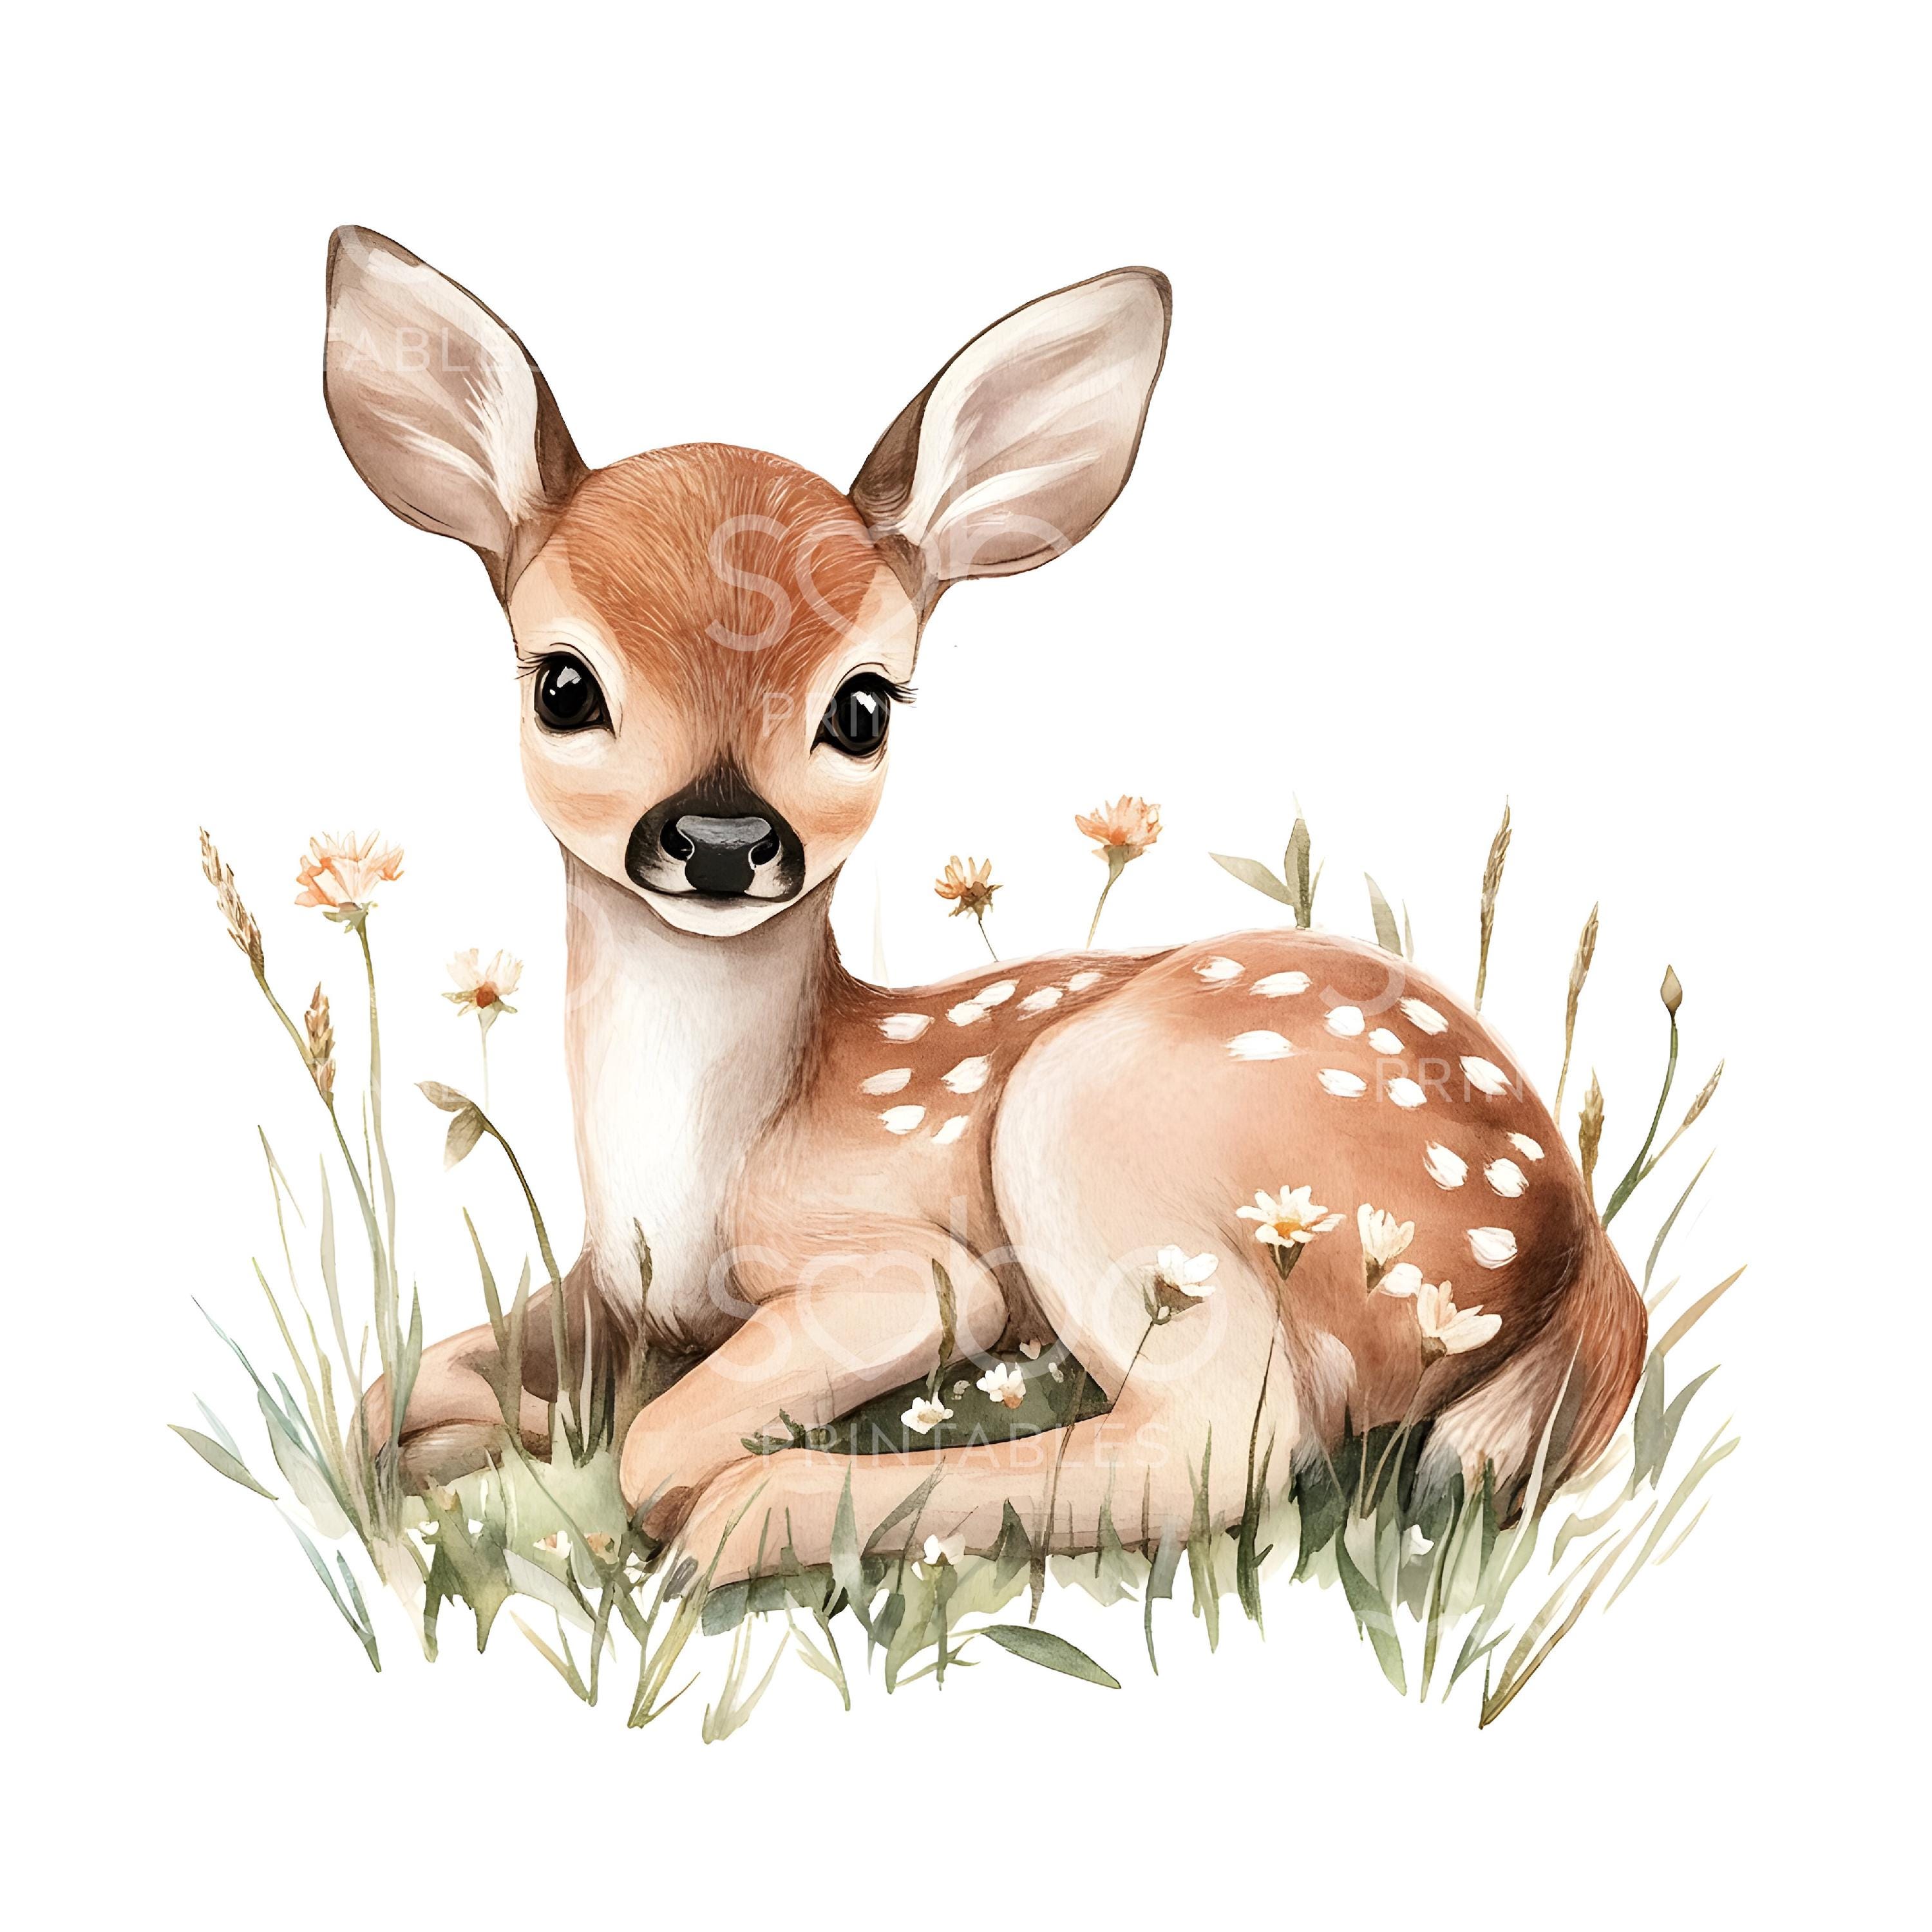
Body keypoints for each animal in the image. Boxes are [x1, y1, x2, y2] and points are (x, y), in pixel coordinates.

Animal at [323, 226, 1646, 1586]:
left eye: (862, 706)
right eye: (565, 685)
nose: (725, 839)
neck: (708, 1168)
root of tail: (1575, 1244)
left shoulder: (906, 1272)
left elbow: (655, 1441)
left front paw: (679, 1475)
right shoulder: (610, 1281)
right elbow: (392, 1392)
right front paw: (442, 1436)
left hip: (1097, 1126)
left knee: (1223, 1439)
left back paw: (754, 1517)